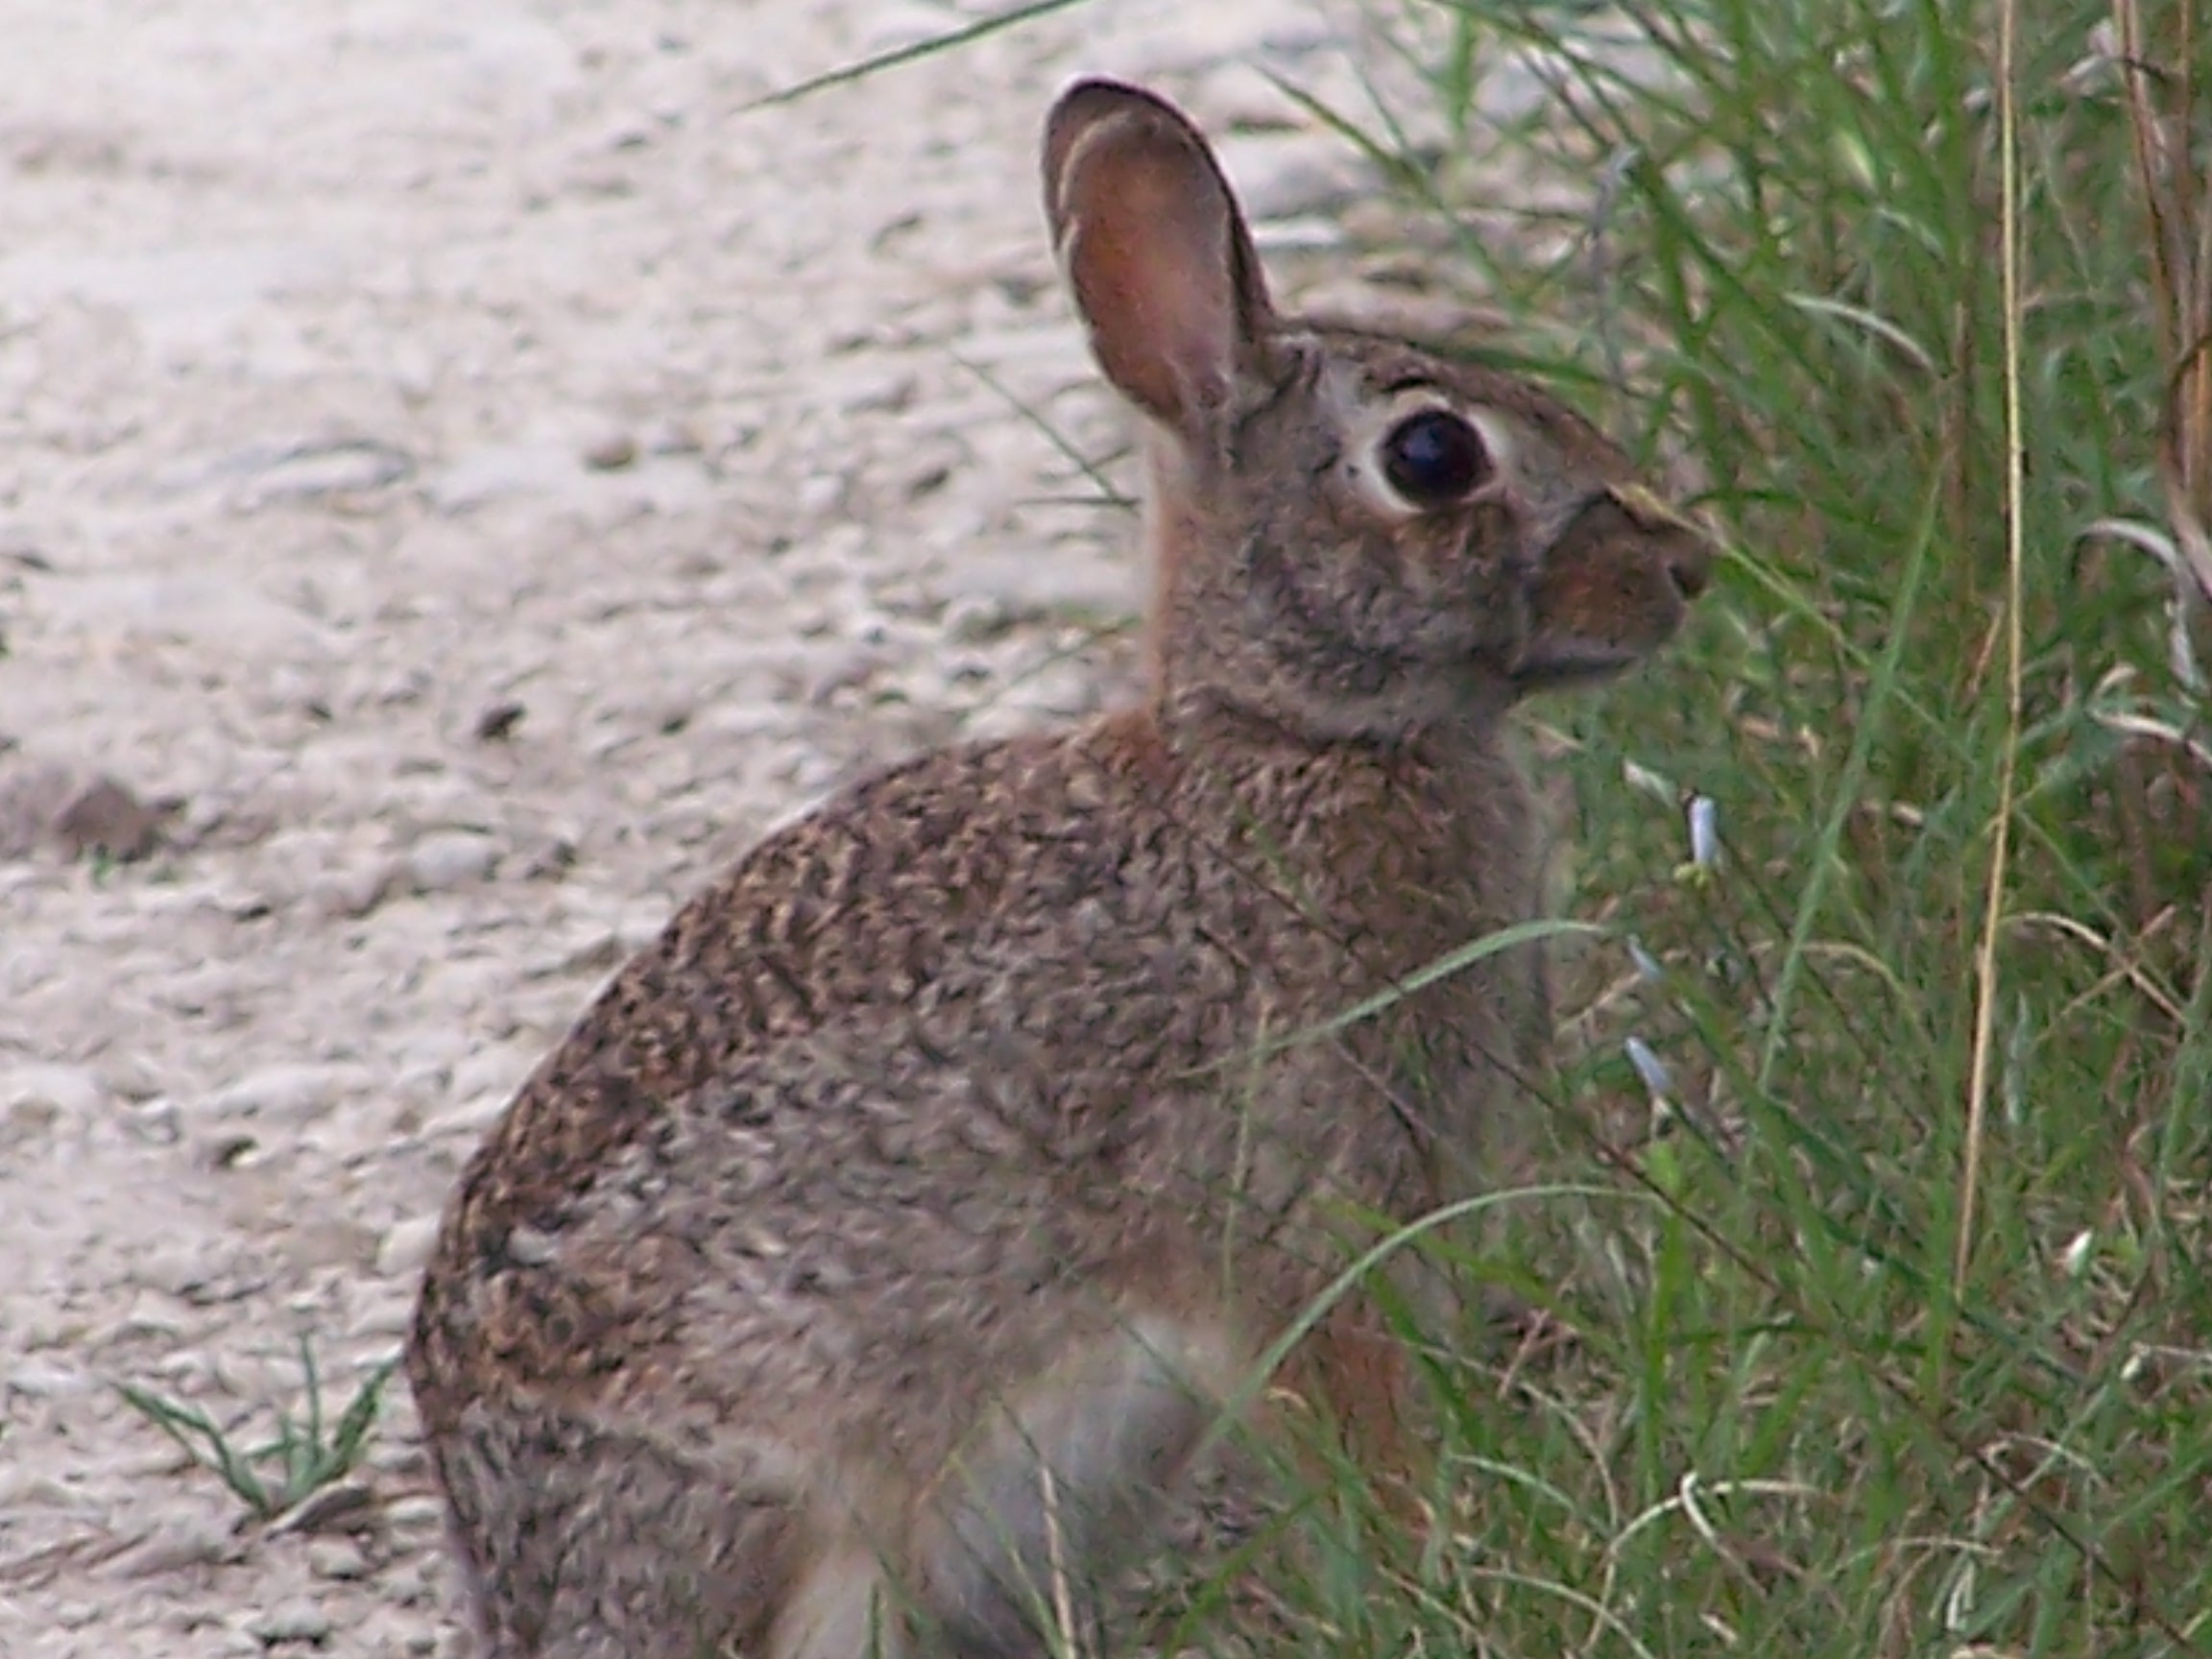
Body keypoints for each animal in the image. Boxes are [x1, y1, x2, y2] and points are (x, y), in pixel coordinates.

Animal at [407, 75, 1709, 1659]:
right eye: (1432, 458)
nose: (1688, 566)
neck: (1286, 736)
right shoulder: (1290, 1229)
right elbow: (1362, 1428)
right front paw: (1434, 1571)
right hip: (786, 1524)